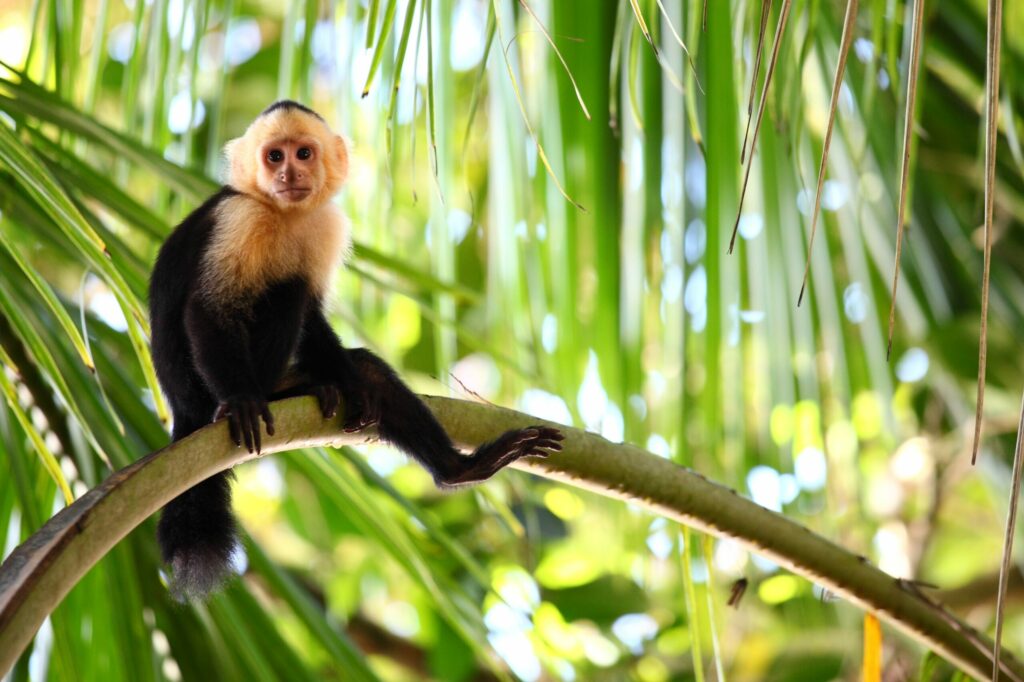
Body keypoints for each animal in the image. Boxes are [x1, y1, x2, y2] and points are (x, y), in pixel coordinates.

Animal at [149, 100, 563, 601]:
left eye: (304, 153)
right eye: (274, 156)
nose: (288, 173)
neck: (283, 214)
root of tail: (183, 413)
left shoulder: (325, 226)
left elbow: (314, 319)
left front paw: (350, 386)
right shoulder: (240, 218)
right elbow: (210, 309)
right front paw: (242, 399)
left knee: (364, 365)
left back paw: (455, 466)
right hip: (203, 390)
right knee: (284, 289)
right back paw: (261, 395)